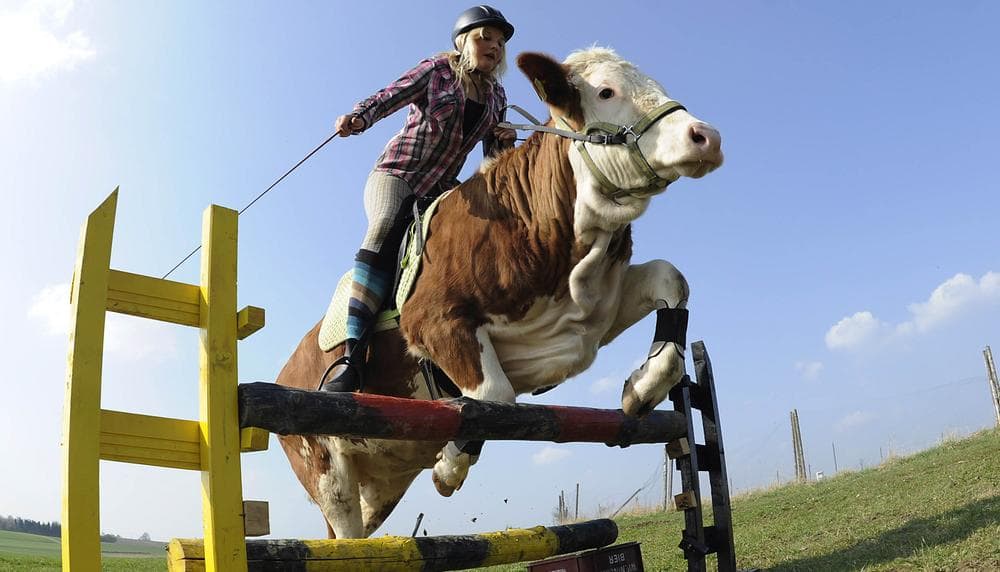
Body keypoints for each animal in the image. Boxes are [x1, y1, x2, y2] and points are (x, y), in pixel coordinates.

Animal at [276, 47, 723, 539]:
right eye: (606, 91)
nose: (706, 137)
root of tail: (285, 369)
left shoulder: (588, 312)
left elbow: (670, 280)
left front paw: (642, 388)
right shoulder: (432, 322)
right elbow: (493, 394)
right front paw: (449, 466)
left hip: (380, 484)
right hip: (326, 472)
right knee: (345, 534)